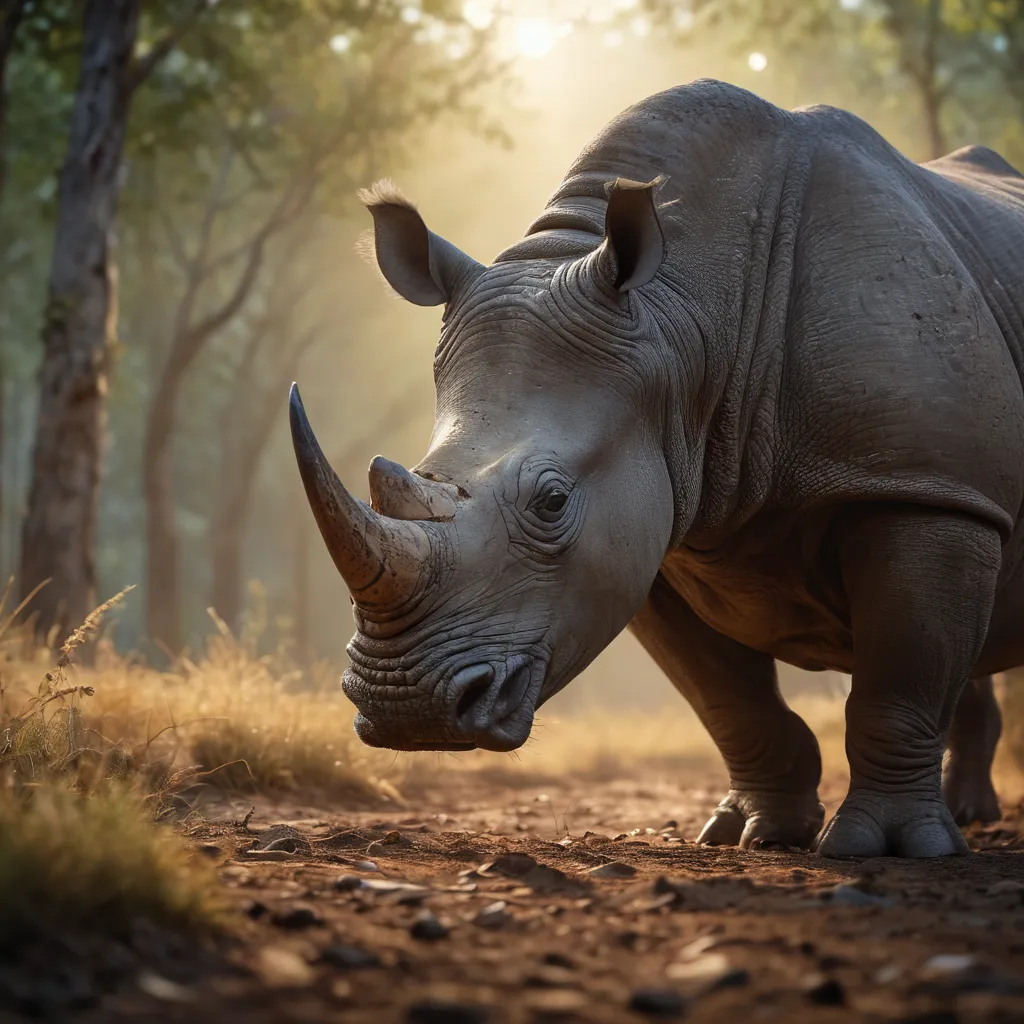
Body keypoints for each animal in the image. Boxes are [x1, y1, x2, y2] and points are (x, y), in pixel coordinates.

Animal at [290, 80, 1024, 859]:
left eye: (552, 502)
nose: (405, 708)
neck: (687, 320)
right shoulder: (652, 521)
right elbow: (728, 699)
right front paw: (756, 833)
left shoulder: (926, 485)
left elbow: (899, 680)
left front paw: (883, 849)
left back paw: (963, 821)